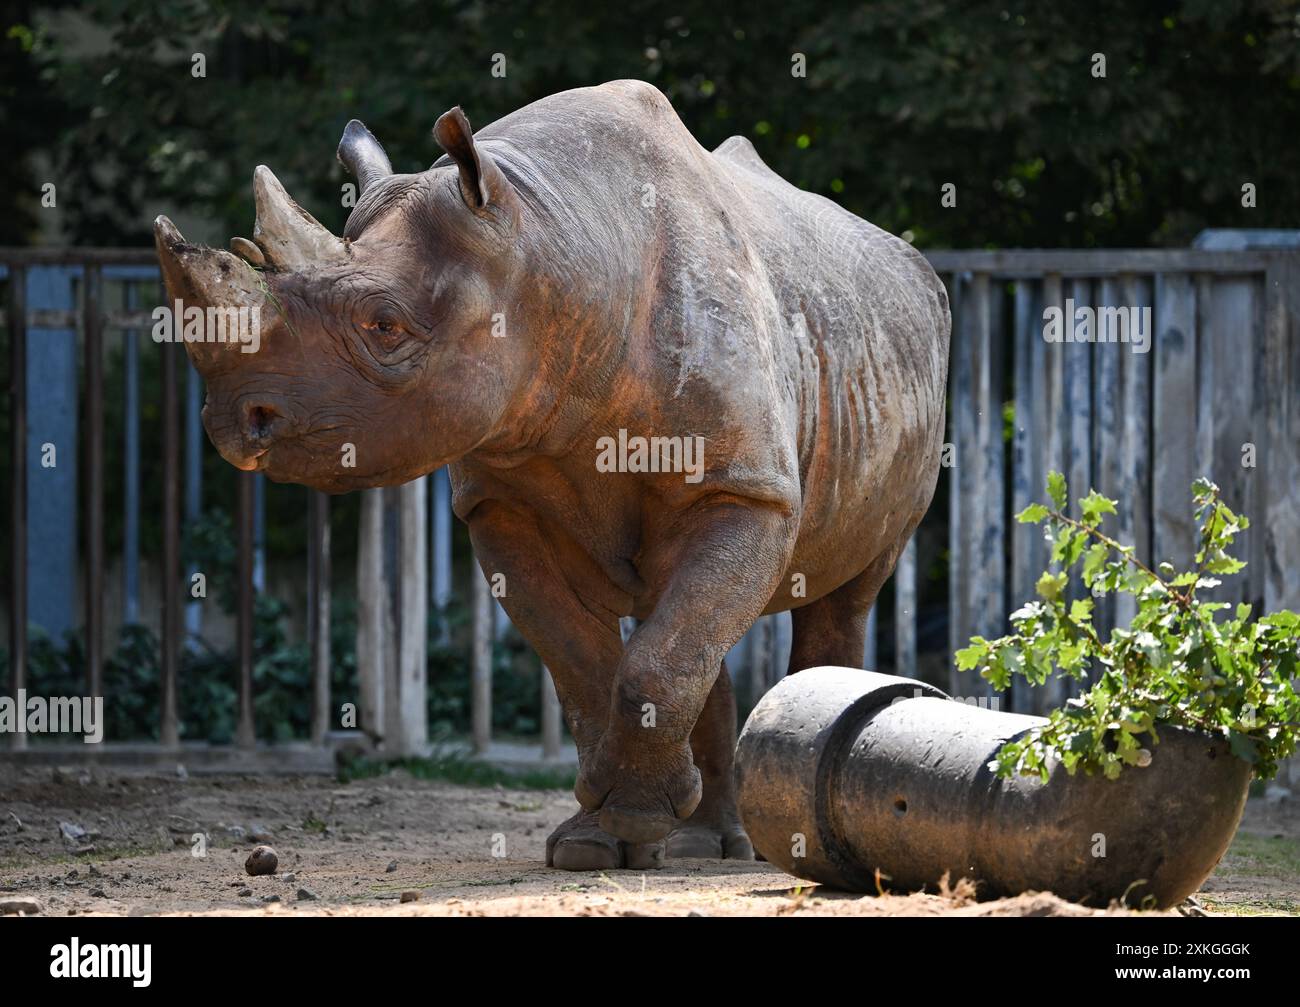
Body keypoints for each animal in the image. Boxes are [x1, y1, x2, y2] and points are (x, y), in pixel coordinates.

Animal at [154, 79, 950, 870]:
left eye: (385, 326)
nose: (233, 419)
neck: (550, 243)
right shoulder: (501, 498)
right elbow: (581, 658)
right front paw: (598, 839)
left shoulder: (746, 485)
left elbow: (654, 658)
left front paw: (631, 815)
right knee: (684, 615)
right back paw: (700, 840)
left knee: (844, 590)